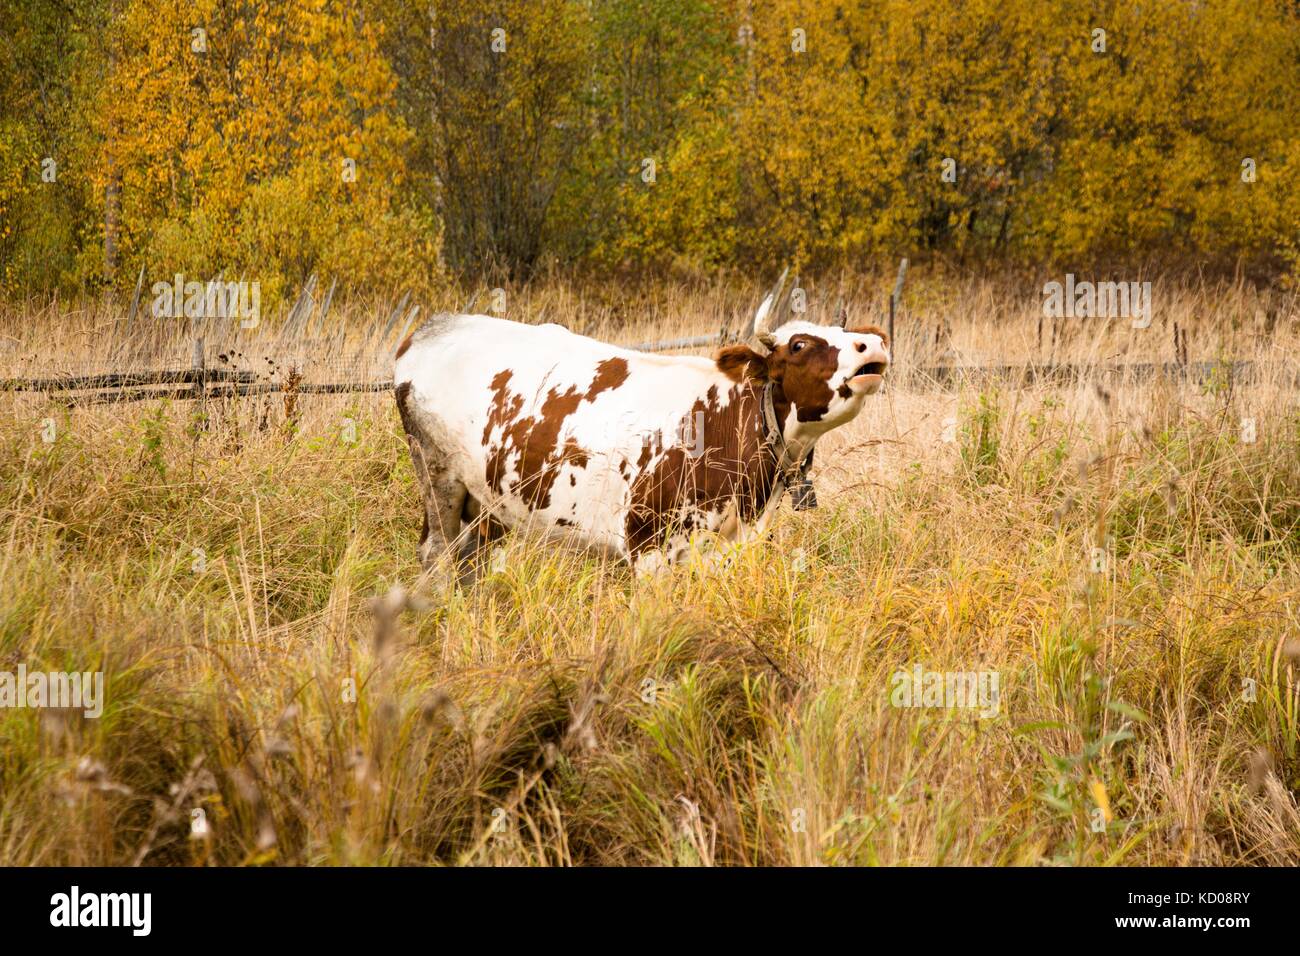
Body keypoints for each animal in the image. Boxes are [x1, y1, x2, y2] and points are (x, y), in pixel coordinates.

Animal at [393, 272, 890, 578]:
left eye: (846, 334)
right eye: (799, 344)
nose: (872, 344)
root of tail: (432, 328)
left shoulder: (728, 547)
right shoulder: (647, 548)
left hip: (486, 501)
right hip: (438, 479)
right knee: (436, 554)